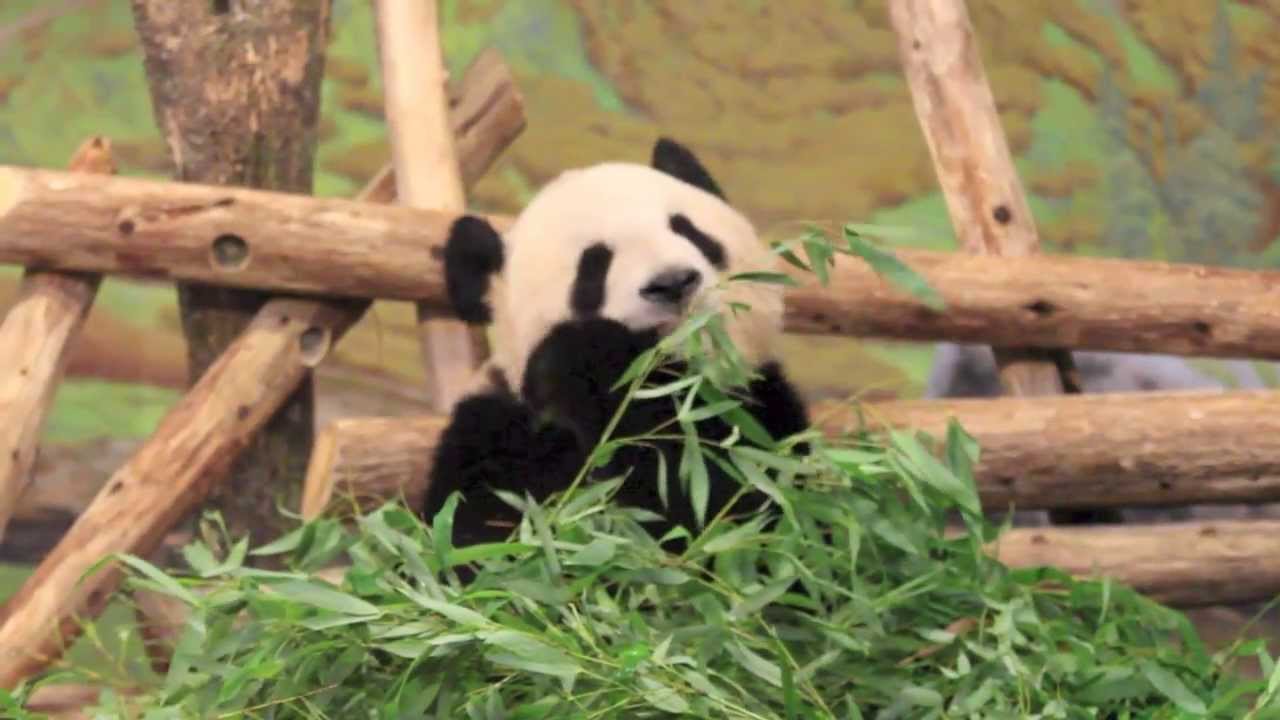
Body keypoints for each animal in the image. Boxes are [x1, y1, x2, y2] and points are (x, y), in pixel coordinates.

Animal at [421, 137, 811, 553]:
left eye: (688, 230)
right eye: (594, 264)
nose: (672, 282)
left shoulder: (768, 420)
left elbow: (737, 513)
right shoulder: (494, 440)